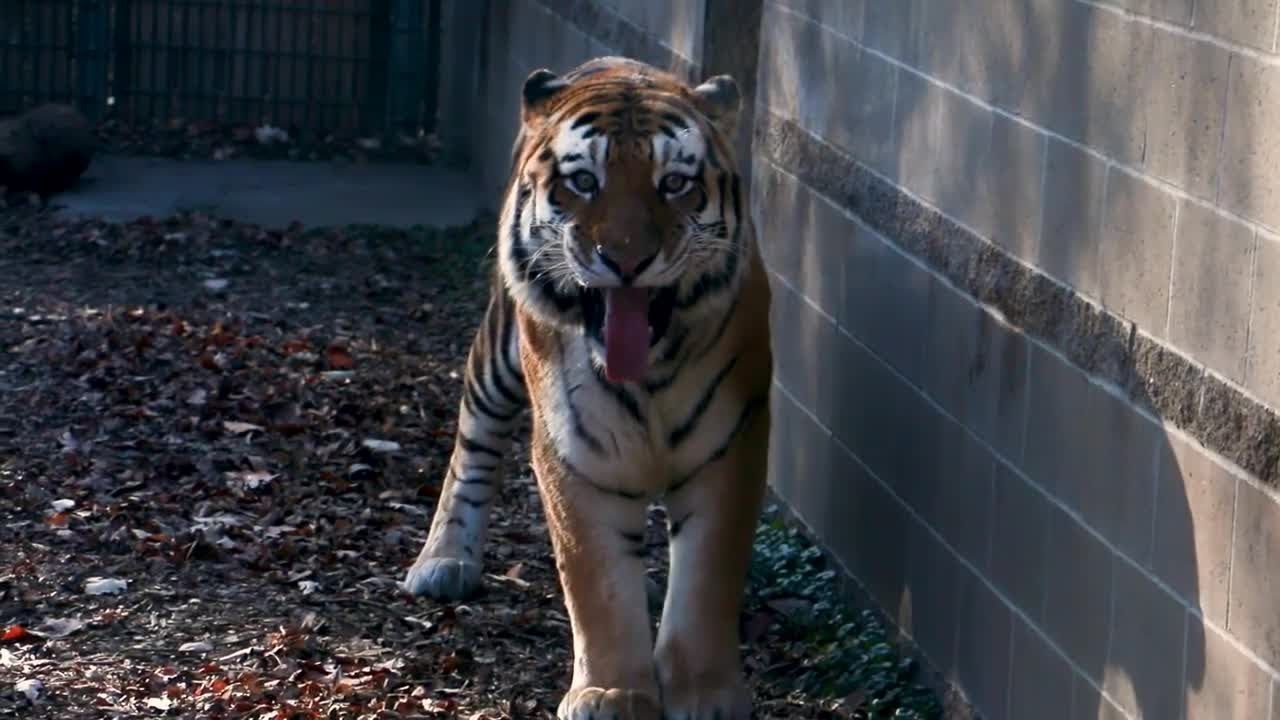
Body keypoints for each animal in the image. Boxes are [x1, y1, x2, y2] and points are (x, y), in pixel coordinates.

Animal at [402, 56, 772, 720]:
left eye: (674, 184)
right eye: (583, 181)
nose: (625, 260)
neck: (649, 376)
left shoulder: (731, 445)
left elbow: (707, 576)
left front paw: (705, 692)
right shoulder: (576, 455)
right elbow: (596, 580)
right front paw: (611, 694)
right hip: (497, 353)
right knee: (473, 442)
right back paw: (443, 560)